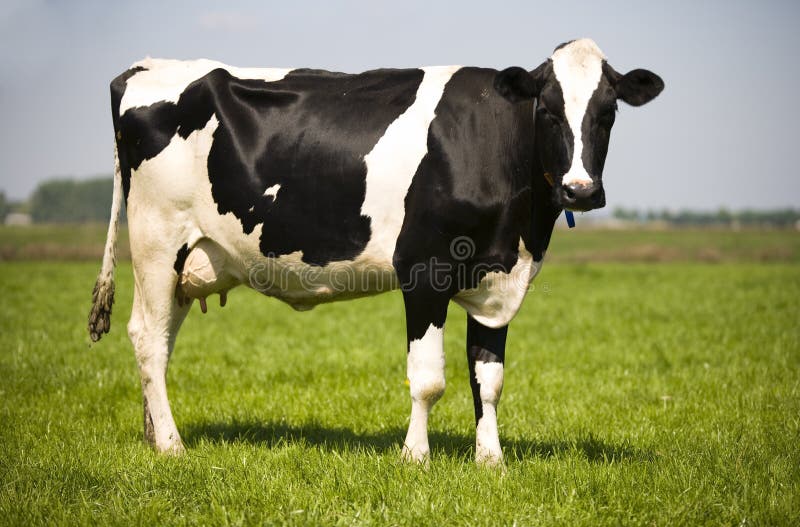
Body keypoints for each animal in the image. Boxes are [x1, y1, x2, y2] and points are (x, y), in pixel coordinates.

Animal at [88, 38, 663, 465]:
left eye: (608, 112)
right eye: (548, 109)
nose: (580, 190)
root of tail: (144, 67)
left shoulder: (499, 281)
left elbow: (489, 378)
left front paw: (491, 460)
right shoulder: (424, 271)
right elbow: (429, 379)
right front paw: (416, 457)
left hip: (190, 259)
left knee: (162, 341)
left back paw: (153, 435)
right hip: (157, 239)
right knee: (148, 339)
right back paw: (171, 445)